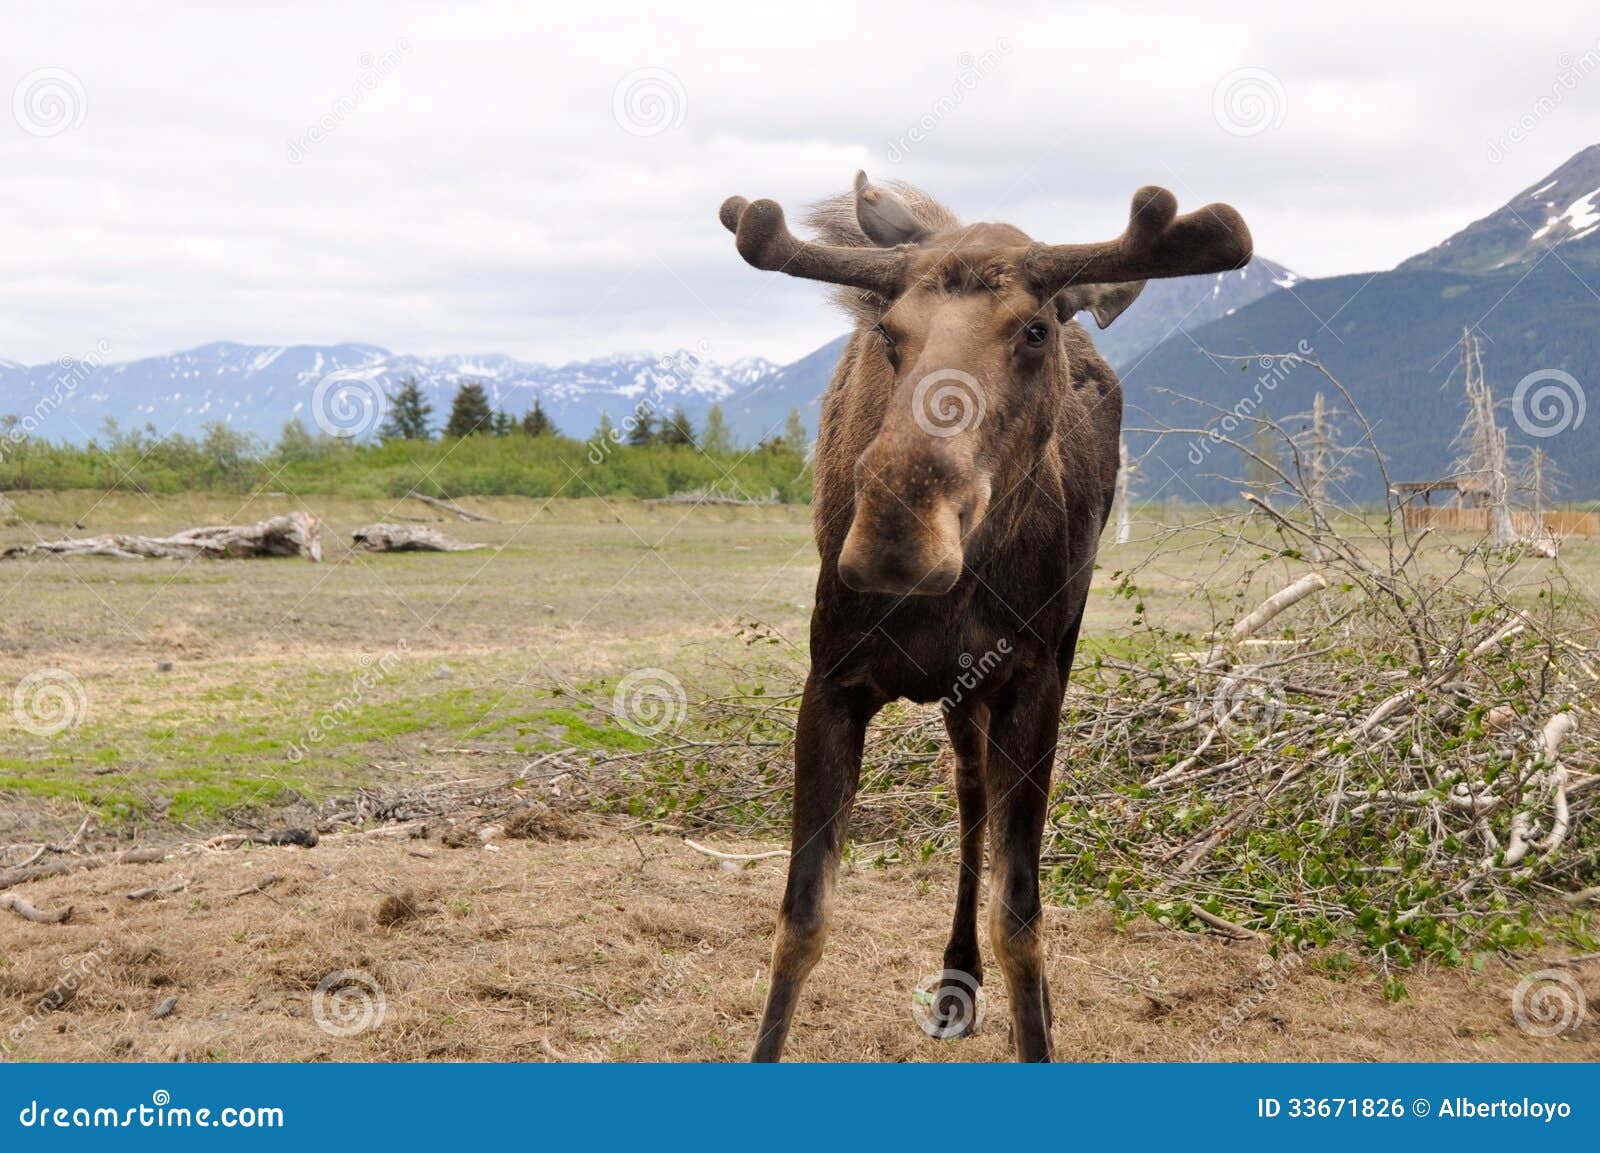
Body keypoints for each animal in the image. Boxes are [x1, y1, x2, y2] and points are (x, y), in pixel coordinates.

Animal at [717, 173, 1251, 1061]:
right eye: (888, 332)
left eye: (1033, 330)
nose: (897, 530)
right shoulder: (831, 680)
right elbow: (801, 918)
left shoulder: (1031, 683)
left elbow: (1022, 920)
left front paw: (1036, 1022)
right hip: (958, 694)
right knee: (970, 797)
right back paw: (955, 974)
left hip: (1036, 659)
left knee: (989, 817)